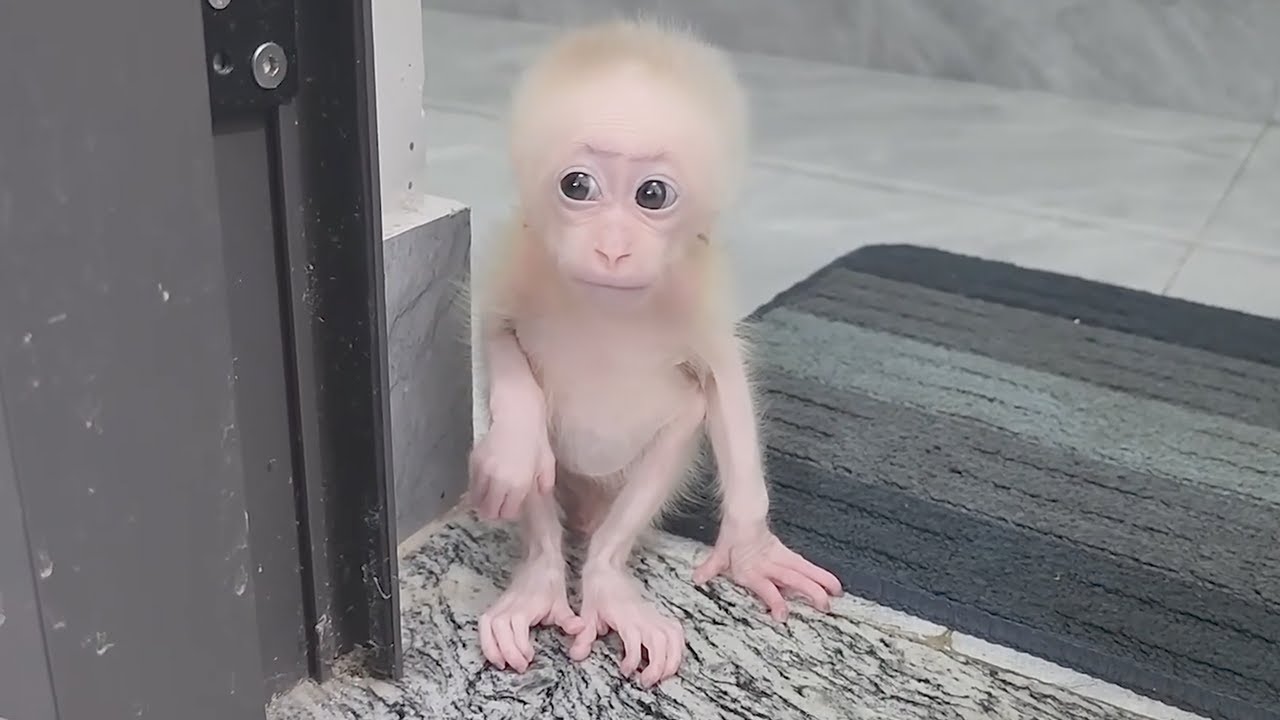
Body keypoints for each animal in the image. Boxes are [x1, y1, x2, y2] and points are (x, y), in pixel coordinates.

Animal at [466, 19, 843, 688]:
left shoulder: (697, 289)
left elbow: (723, 384)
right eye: (577, 185)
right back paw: (541, 575)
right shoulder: (522, 258)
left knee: (684, 418)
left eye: (652, 194)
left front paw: (751, 547)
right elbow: (497, 333)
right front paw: (512, 443)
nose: (613, 248)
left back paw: (605, 579)